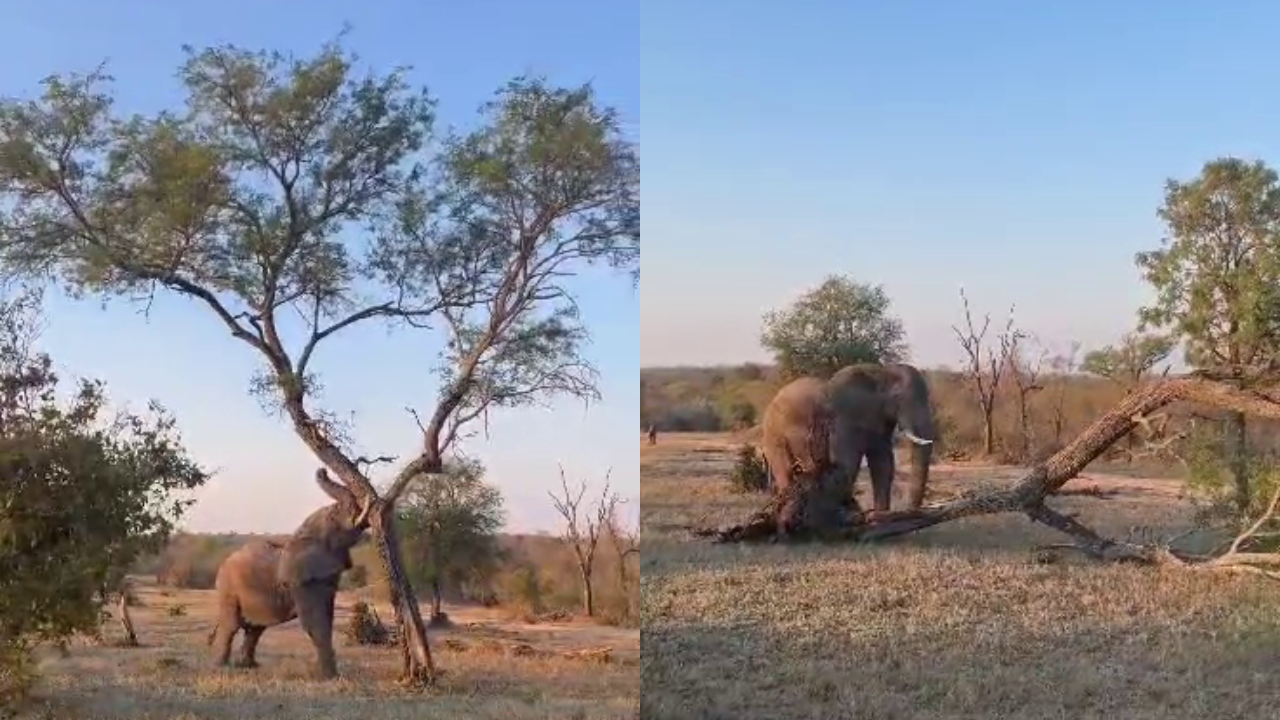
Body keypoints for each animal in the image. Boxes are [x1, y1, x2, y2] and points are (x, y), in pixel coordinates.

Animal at [207, 467, 371, 679]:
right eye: (334, 513)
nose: (323, 470)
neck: (306, 533)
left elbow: (327, 615)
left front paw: (328, 675)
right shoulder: (301, 581)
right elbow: (314, 620)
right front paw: (327, 677)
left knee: (255, 628)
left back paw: (248, 666)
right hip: (228, 589)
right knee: (232, 625)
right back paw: (222, 666)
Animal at [761, 363, 936, 522]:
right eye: (898, 397)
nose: (911, 511)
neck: (880, 372)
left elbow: (883, 463)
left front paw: (880, 515)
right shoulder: (844, 420)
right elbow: (847, 463)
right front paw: (850, 514)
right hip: (774, 435)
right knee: (786, 472)